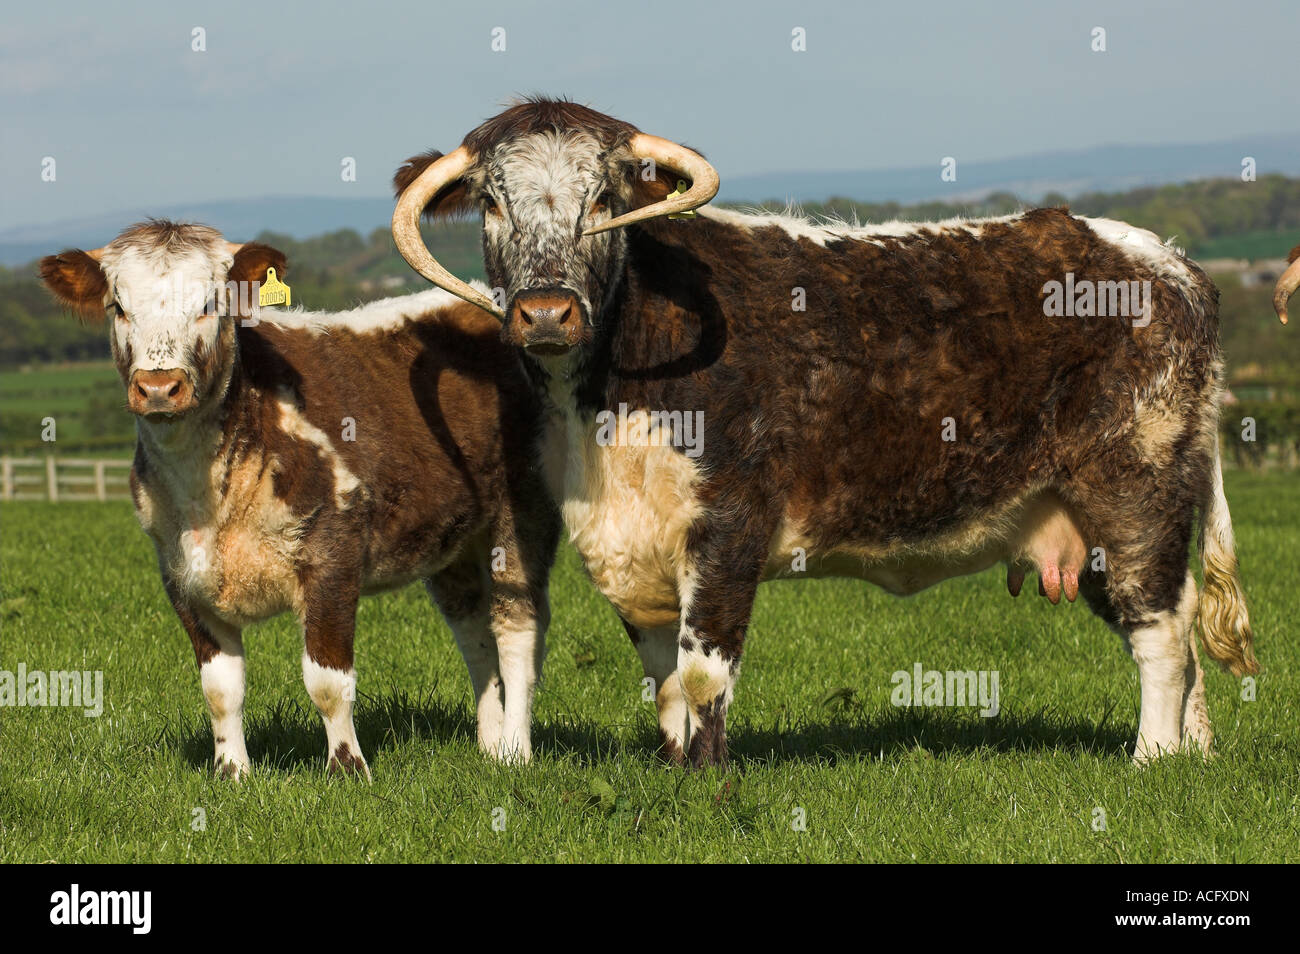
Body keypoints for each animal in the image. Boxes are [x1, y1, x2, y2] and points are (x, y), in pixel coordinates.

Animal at [39, 221, 559, 779]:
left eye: (210, 303)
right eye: (118, 306)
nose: (159, 387)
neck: (209, 492)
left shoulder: (333, 558)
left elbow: (328, 682)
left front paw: (348, 770)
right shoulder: (180, 576)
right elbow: (220, 690)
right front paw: (232, 774)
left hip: (521, 515)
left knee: (517, 630)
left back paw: (516, 751)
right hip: (451, 542)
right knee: (474, 633)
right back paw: (489, 745)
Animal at [389, 98, 1259, 769]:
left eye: (605, 198)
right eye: (493, 203)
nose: (546, 312)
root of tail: (1168, 261)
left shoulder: (730, 524)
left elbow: (703, 672)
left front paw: (705, 779)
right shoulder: (630, 543)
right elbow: (663, 677)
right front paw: (670, 767)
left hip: (1135, 490)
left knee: (1161, 628)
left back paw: (1150, 758)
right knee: (1178, 630)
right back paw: (1194, 753)